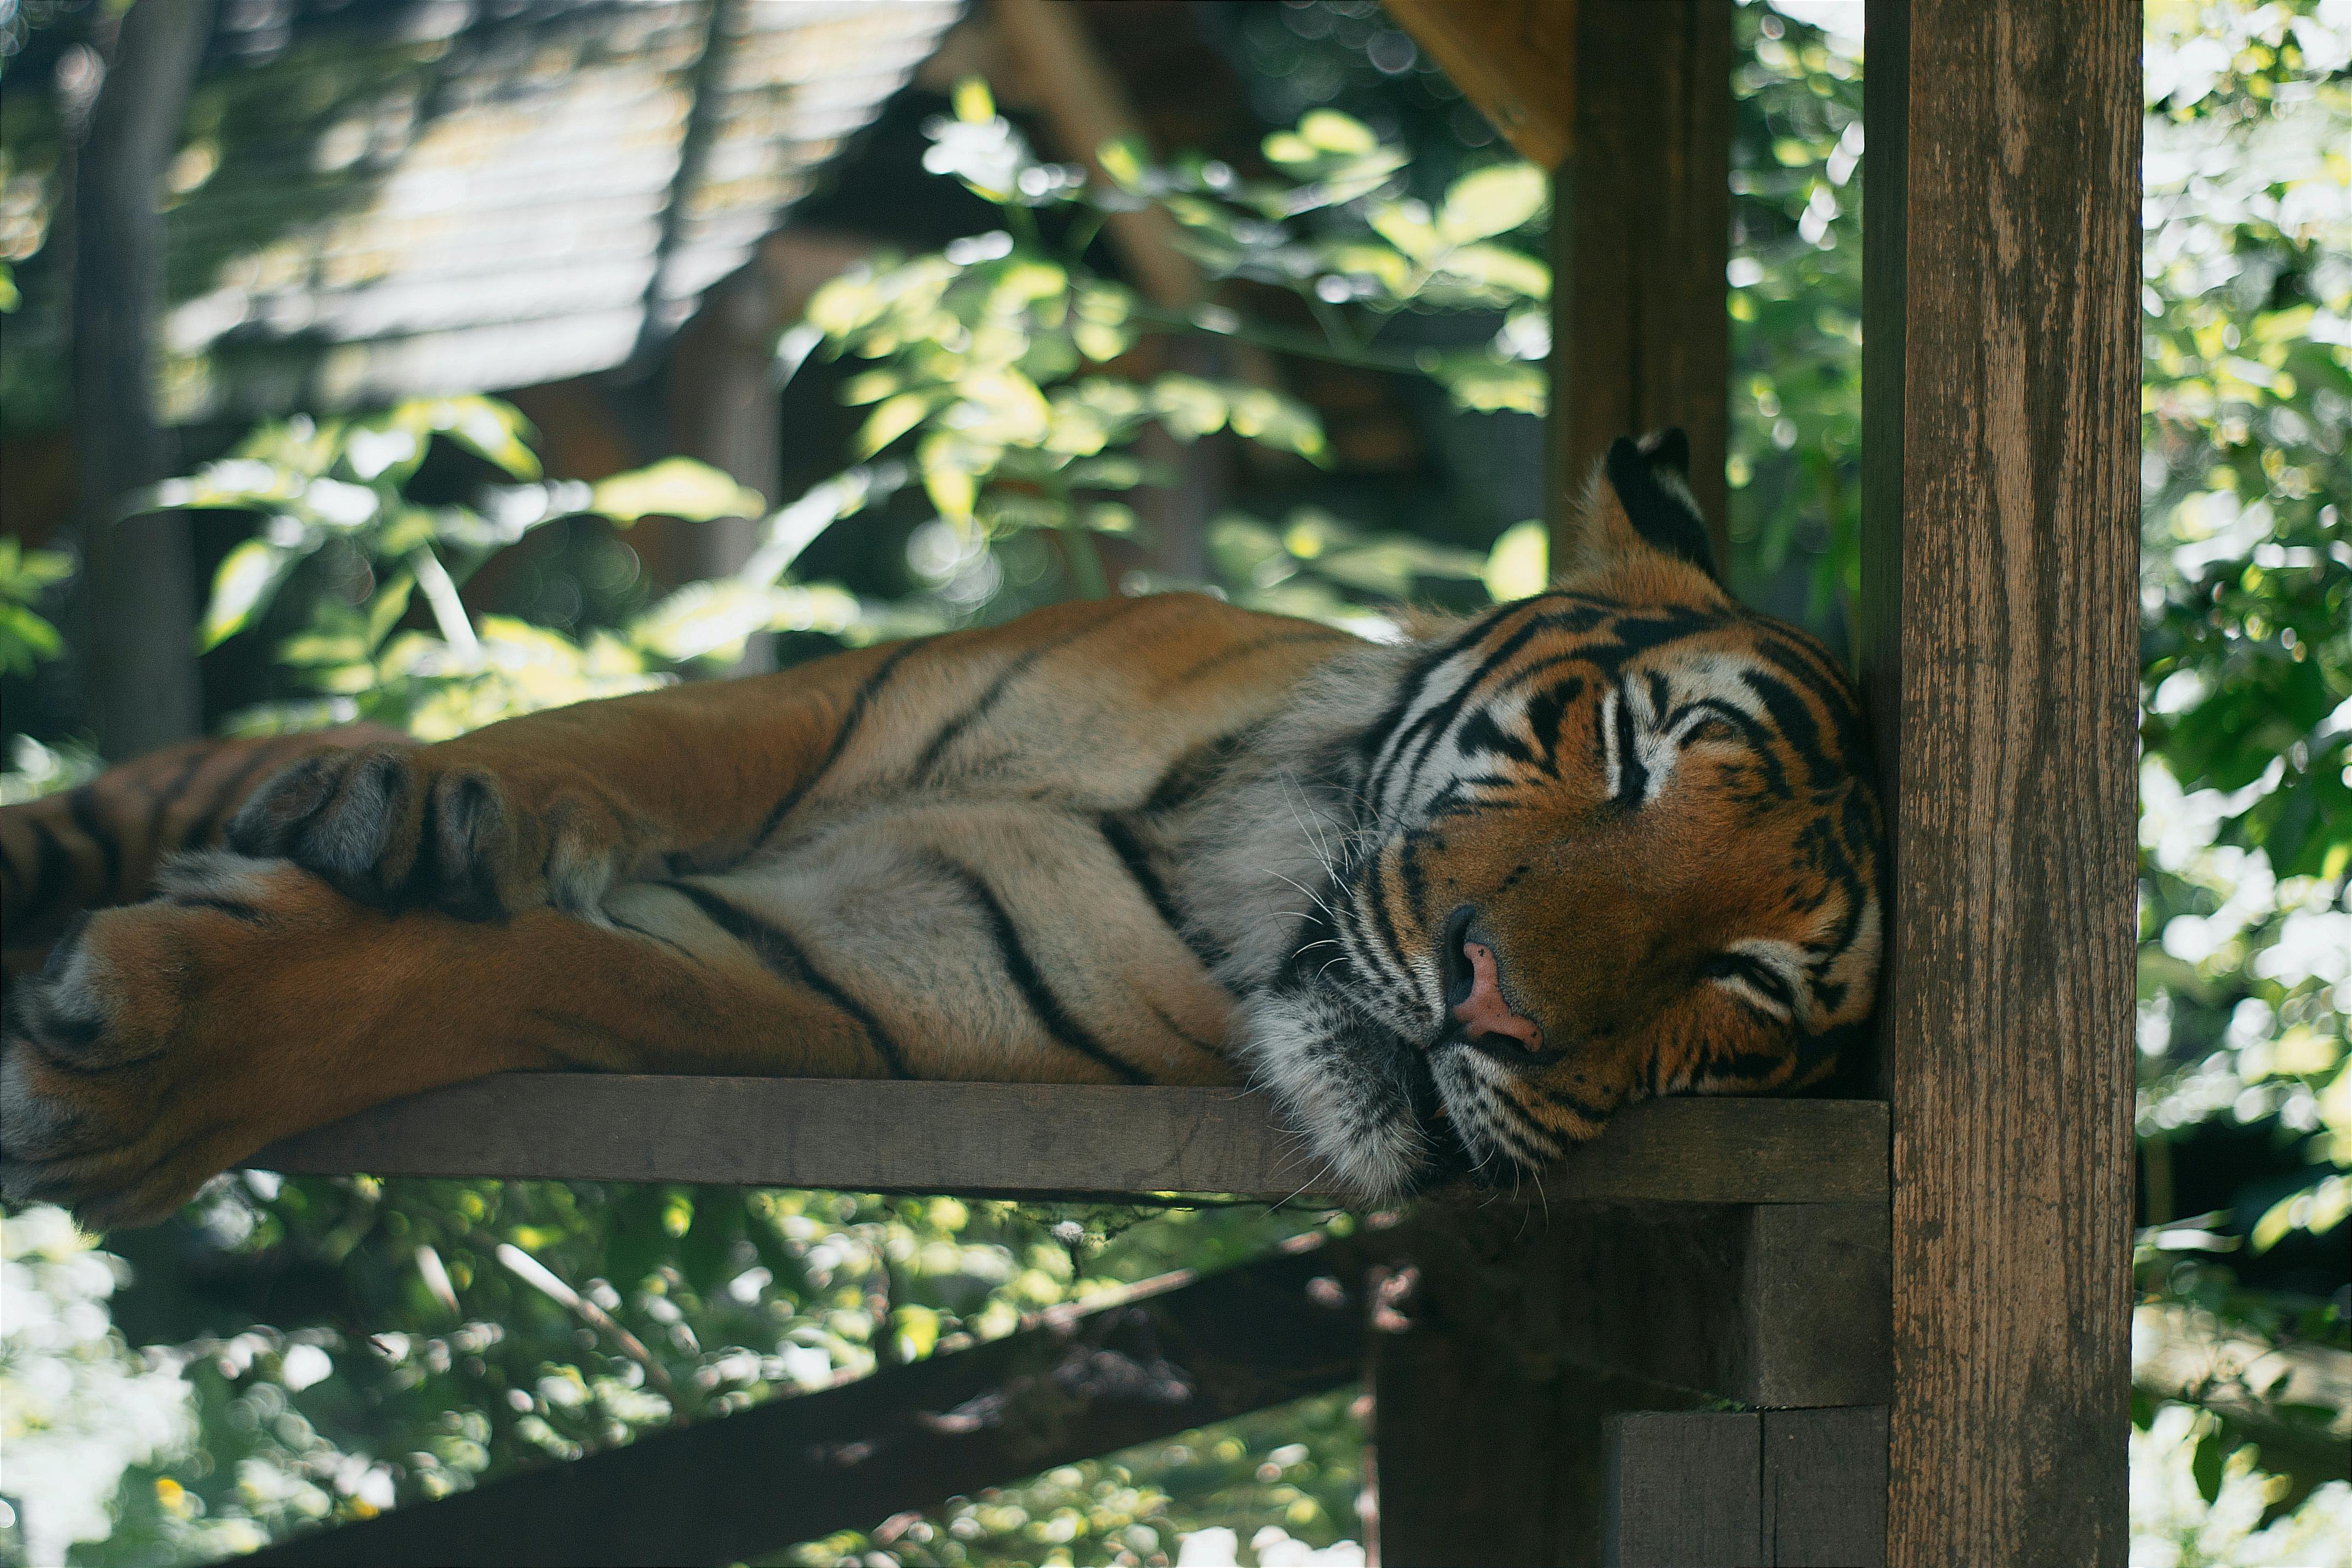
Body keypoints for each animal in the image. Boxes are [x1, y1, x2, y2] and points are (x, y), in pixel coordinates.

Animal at [0, 432, 1883, 1230]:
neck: (1226, 843)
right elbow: (610, 739)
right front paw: (423, 805)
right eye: (1633, 755)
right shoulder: (830, 706)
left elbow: (486, 981)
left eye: (1742, 982)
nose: (1495, 1009)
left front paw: (124, 1078)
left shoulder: (827, 969)